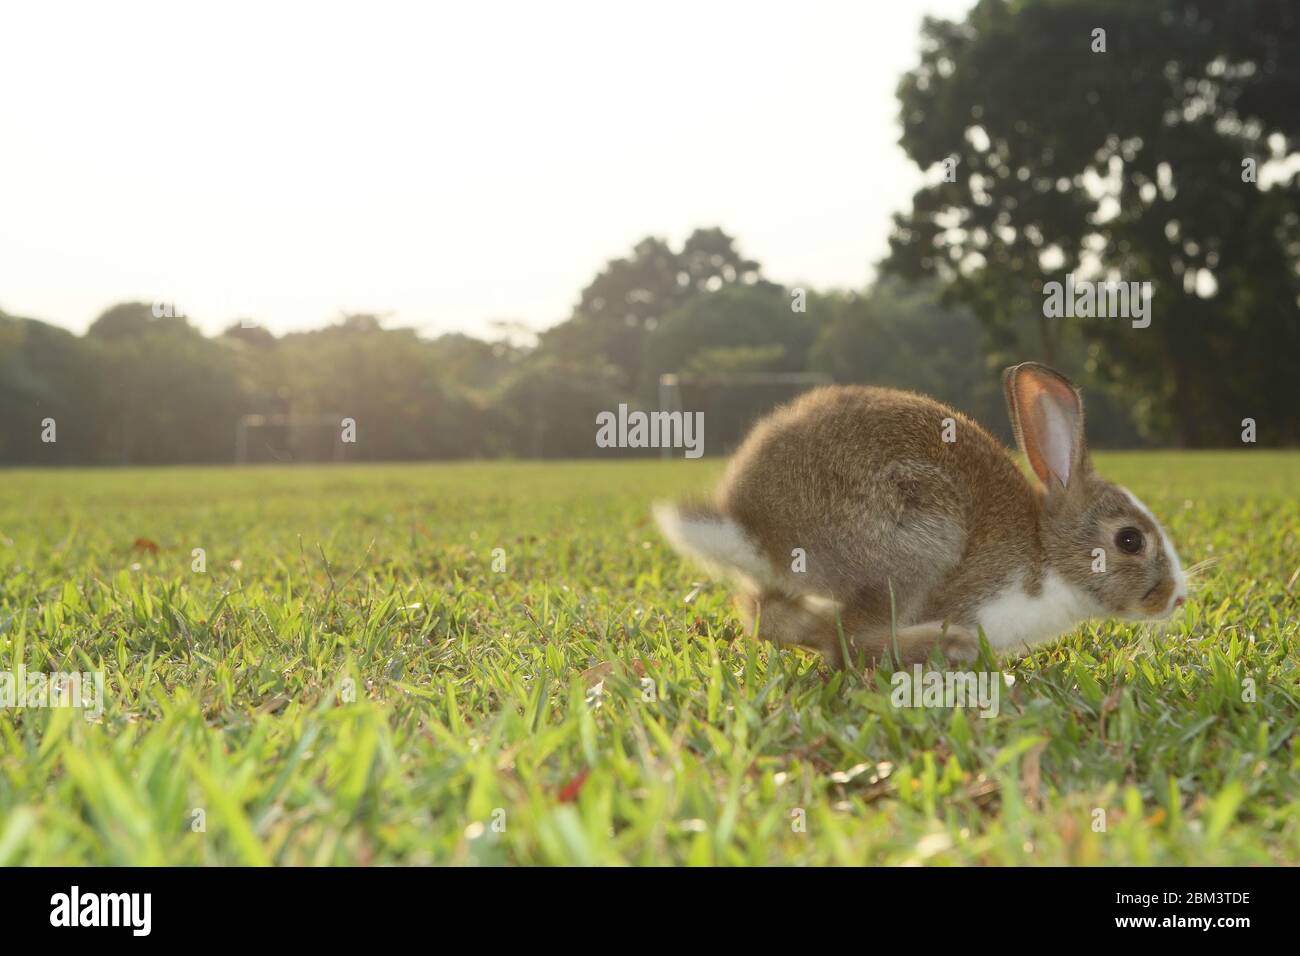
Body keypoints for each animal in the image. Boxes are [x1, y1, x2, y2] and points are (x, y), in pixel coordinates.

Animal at [654, 362, 1188, 667]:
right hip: (917, 541)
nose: (1177, 598)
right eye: (1130, 540)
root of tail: (752, 526)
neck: (1048, 552)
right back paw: (950, 647)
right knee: (850, 640)